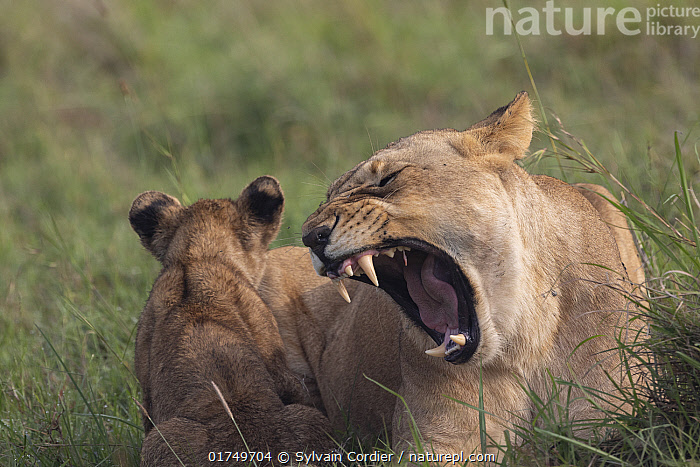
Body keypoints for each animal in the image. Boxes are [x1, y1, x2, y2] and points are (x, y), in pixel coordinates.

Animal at [258, 92, 645, 457]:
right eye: (325, 200)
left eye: (386, 179)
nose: (311, 236)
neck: (524, 342)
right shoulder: (434, 440)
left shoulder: (610, 422)